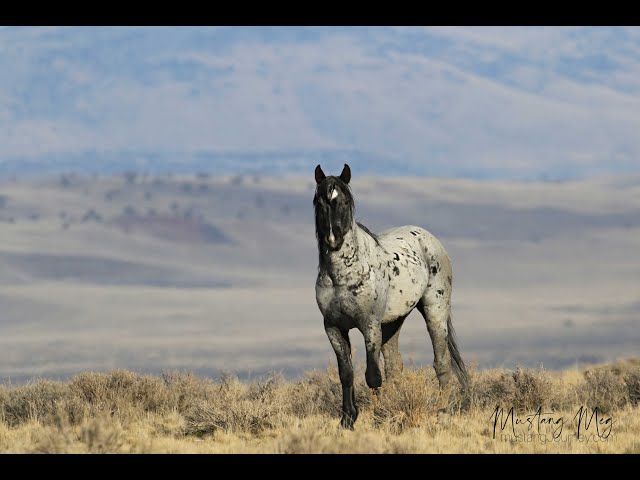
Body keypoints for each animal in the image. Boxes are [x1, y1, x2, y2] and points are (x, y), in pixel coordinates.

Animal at [313, 163, 468, 429]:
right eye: (319, 201)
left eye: (345, 201)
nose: (334, 239)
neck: (341, 276)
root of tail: (430, 239)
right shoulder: (333, 327)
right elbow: (347, 374)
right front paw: (347, 419)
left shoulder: (369, 324)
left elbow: (373, 376)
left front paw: (377, 415)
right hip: (392, 323)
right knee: (395, 367)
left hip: (435, 311)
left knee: (441, 362)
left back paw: (442, 410)